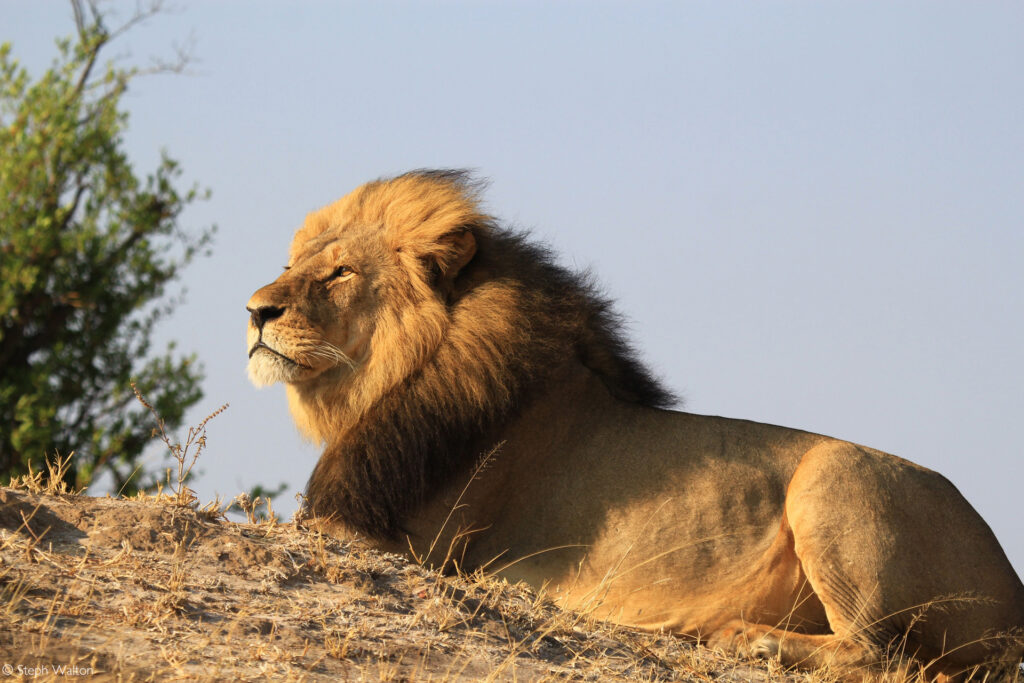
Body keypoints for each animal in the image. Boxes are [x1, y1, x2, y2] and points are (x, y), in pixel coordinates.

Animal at [246, 170, 1024, 677]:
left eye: (341, 272)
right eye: (290, 265)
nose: (254, 311)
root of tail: (1014, 588)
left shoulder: (407, 544)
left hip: (833, 478)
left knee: (882, 654)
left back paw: (745, 640)